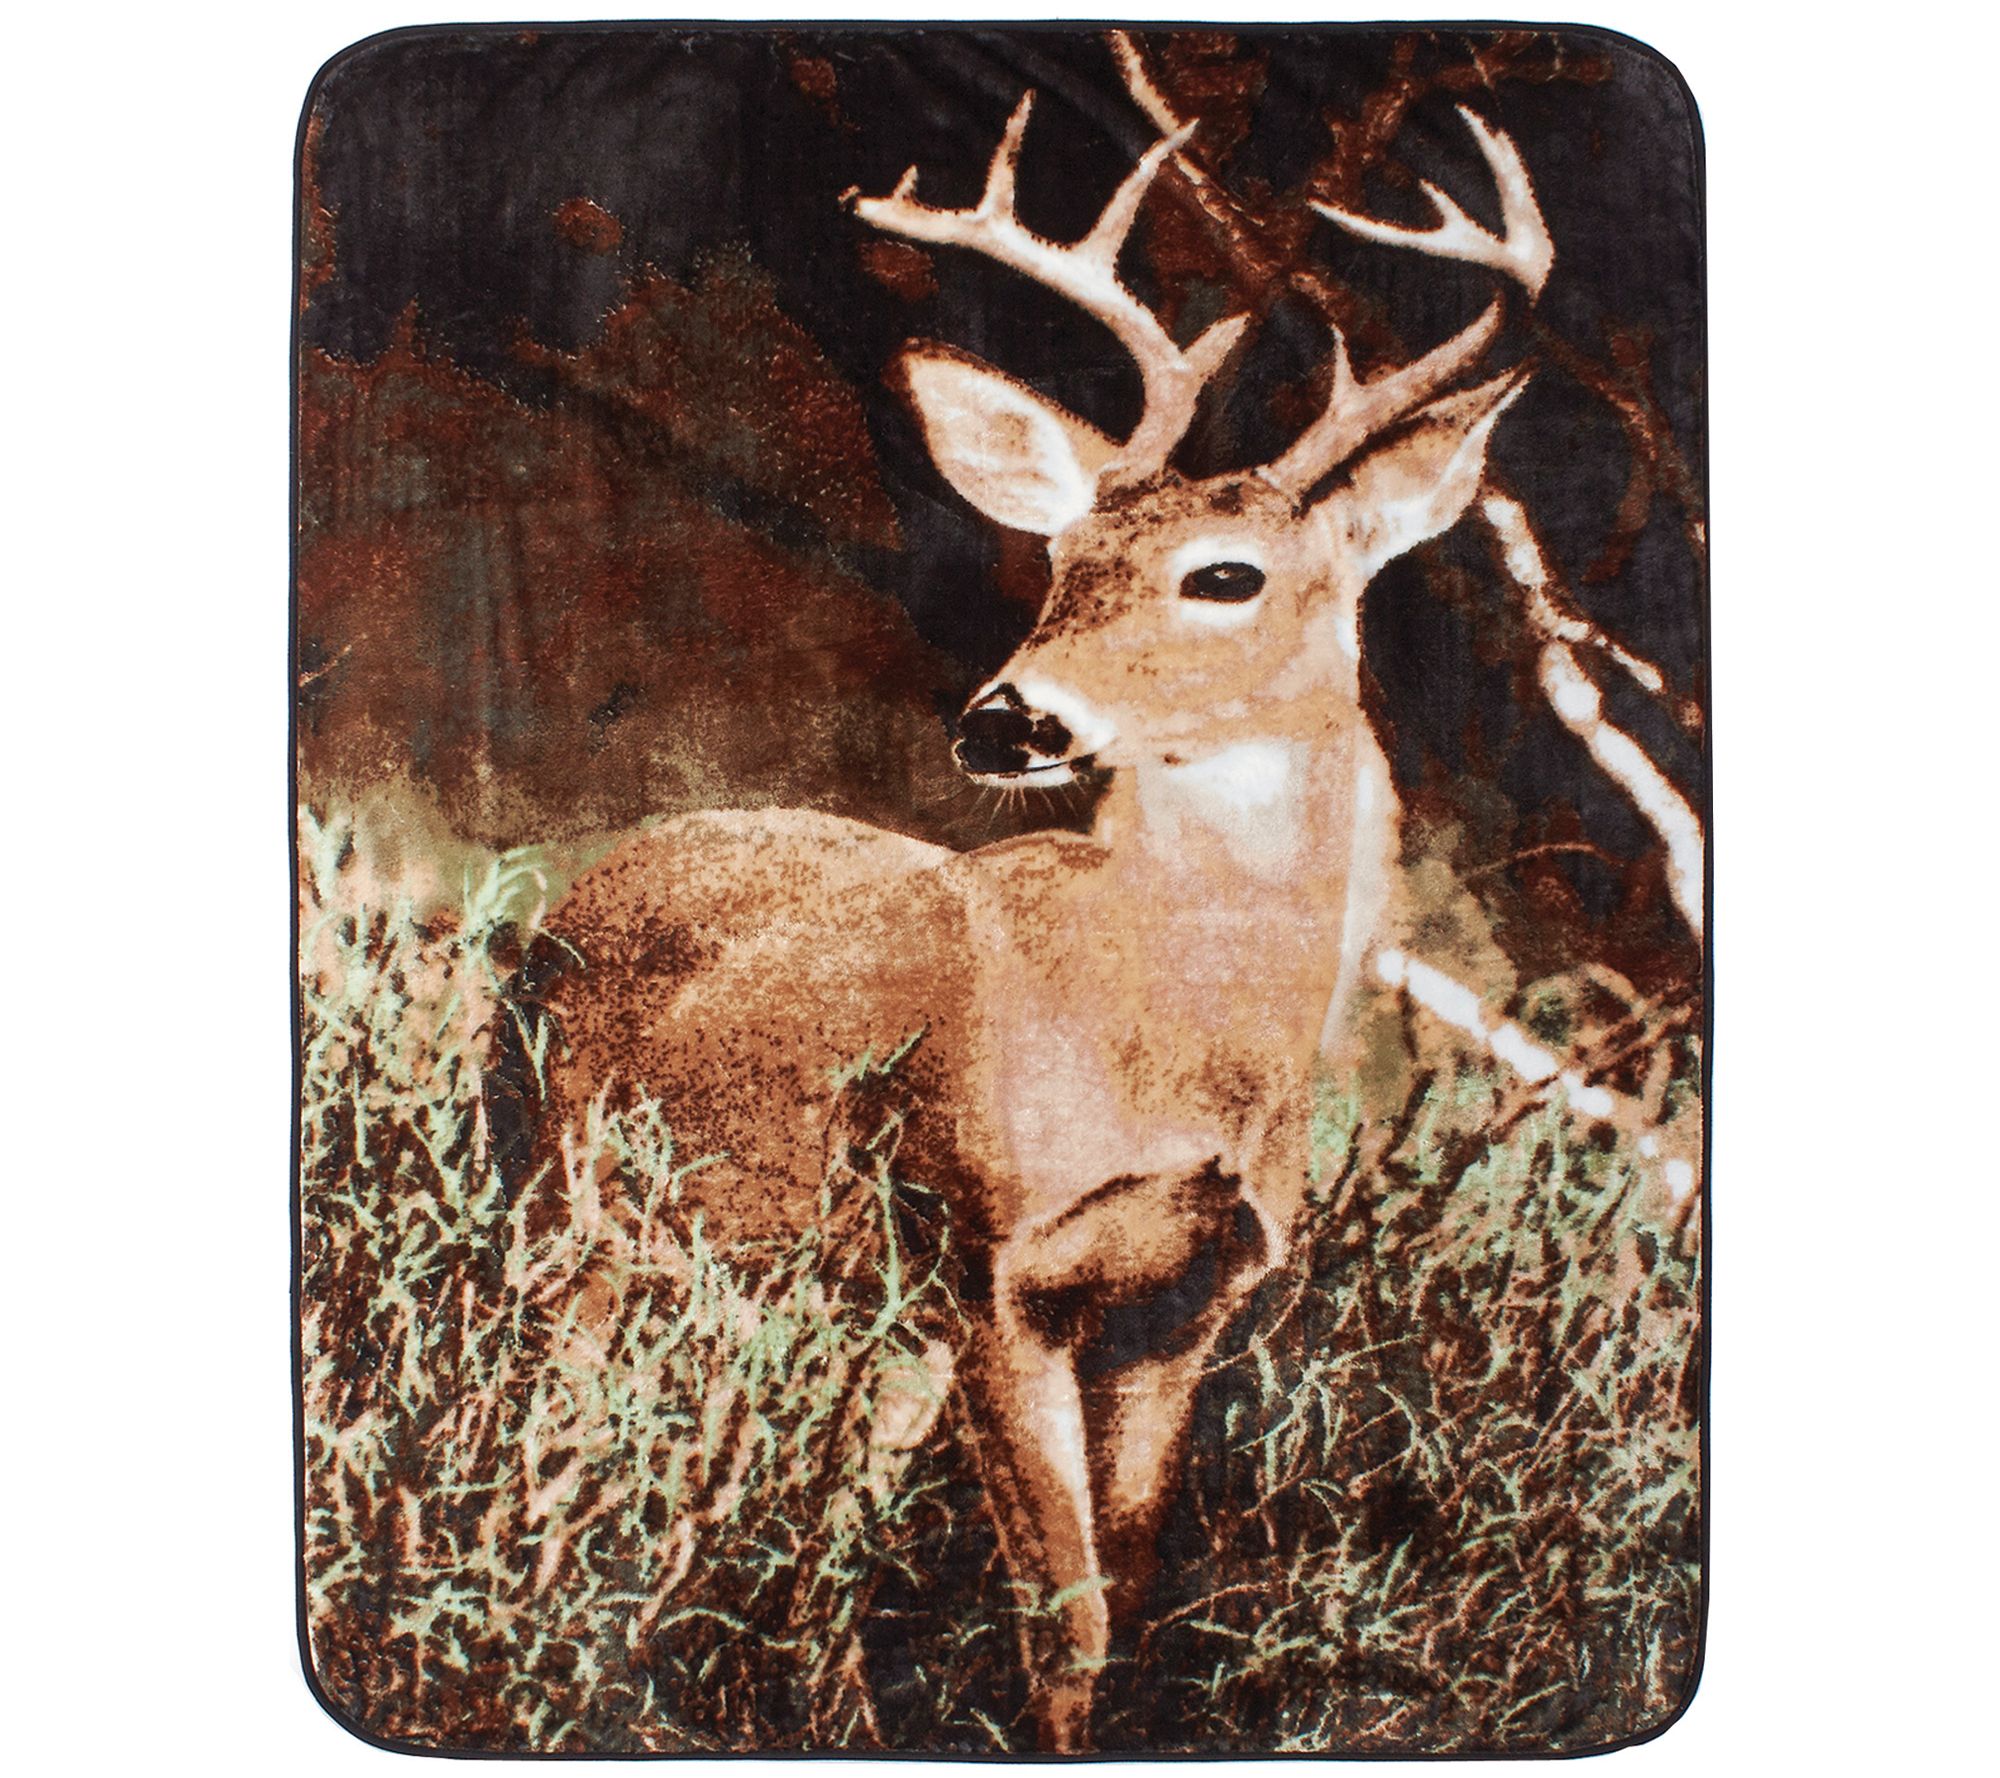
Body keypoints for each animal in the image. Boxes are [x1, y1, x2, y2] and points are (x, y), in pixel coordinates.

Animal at [529, 92, 1552, 1751]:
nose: (1007, 718)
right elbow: (1063, 1615)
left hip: (813, 1290)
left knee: (780, 1487)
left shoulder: (1192, 1301)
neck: (1178, 1040)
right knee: (546, 1419)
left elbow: (1121, 1586)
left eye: (1225, 575)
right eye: (1065, 560)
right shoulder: (991, 1257)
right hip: (569, 1197)